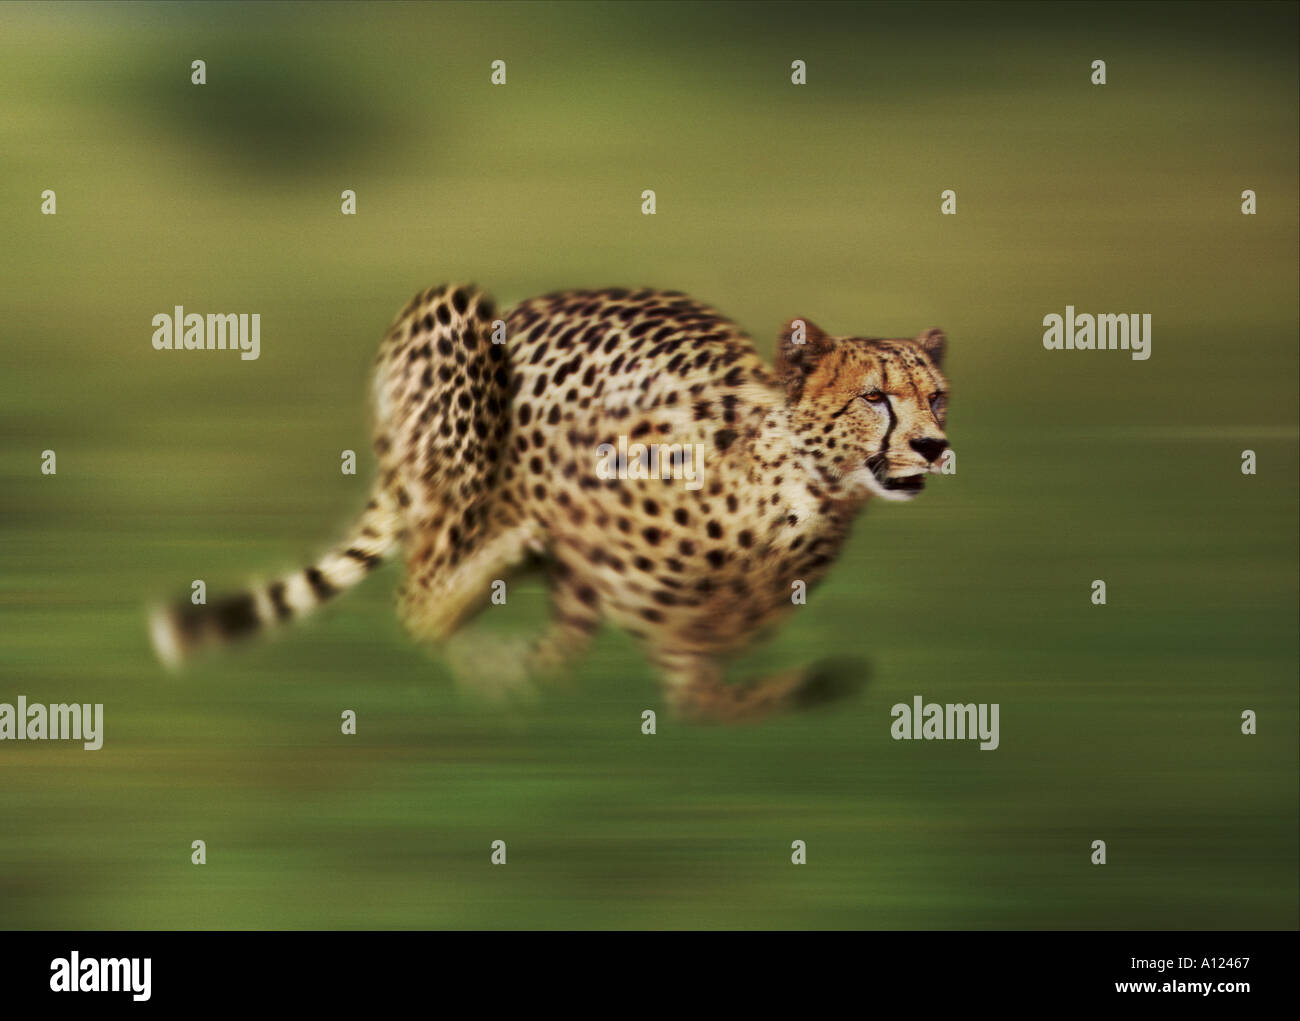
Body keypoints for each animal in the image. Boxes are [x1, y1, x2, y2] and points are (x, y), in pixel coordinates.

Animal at [150, 284, 952, 722]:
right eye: (875, 397)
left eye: (936, 396)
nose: (934, 444)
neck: (799, 495)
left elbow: (688, 671)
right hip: (458, 329)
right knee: (421, 589)